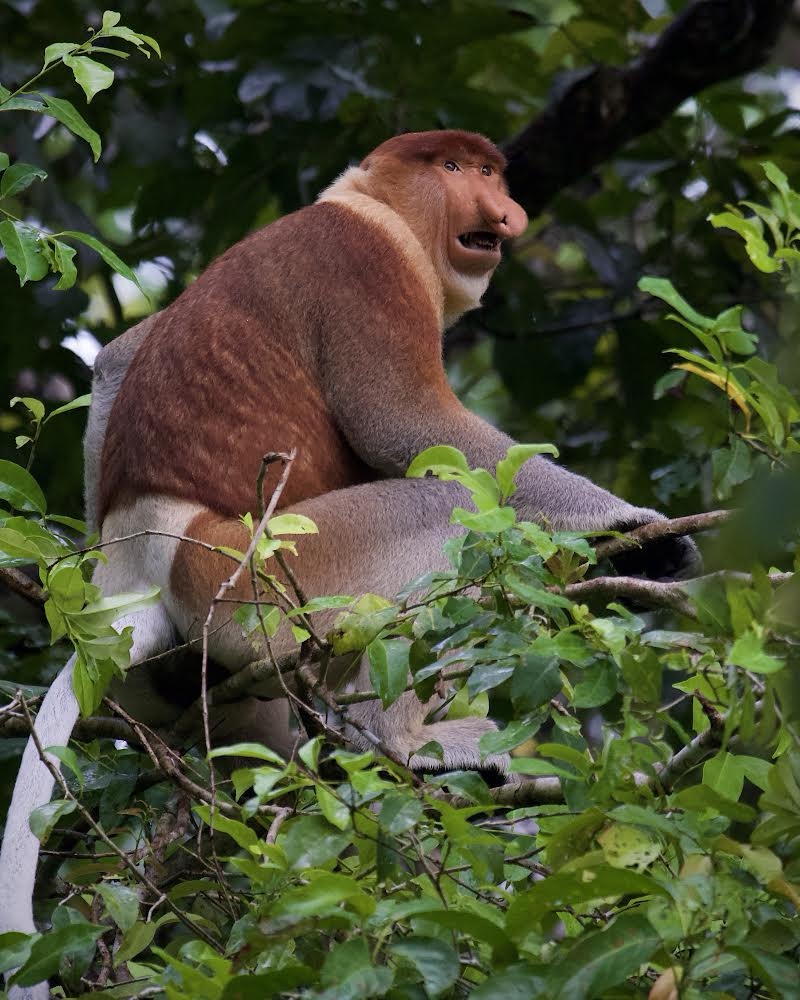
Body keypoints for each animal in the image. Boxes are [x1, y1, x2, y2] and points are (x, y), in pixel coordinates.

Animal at [0, 131, 699, 998]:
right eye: (457, 169)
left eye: (492, 171)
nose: (506, 212)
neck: (368, 204)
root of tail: (143, 565)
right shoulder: (368, 264)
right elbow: (409, 422)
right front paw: (641, 532)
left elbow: (120, 355)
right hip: (268, 578)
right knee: (447, 519)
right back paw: (406, 742)